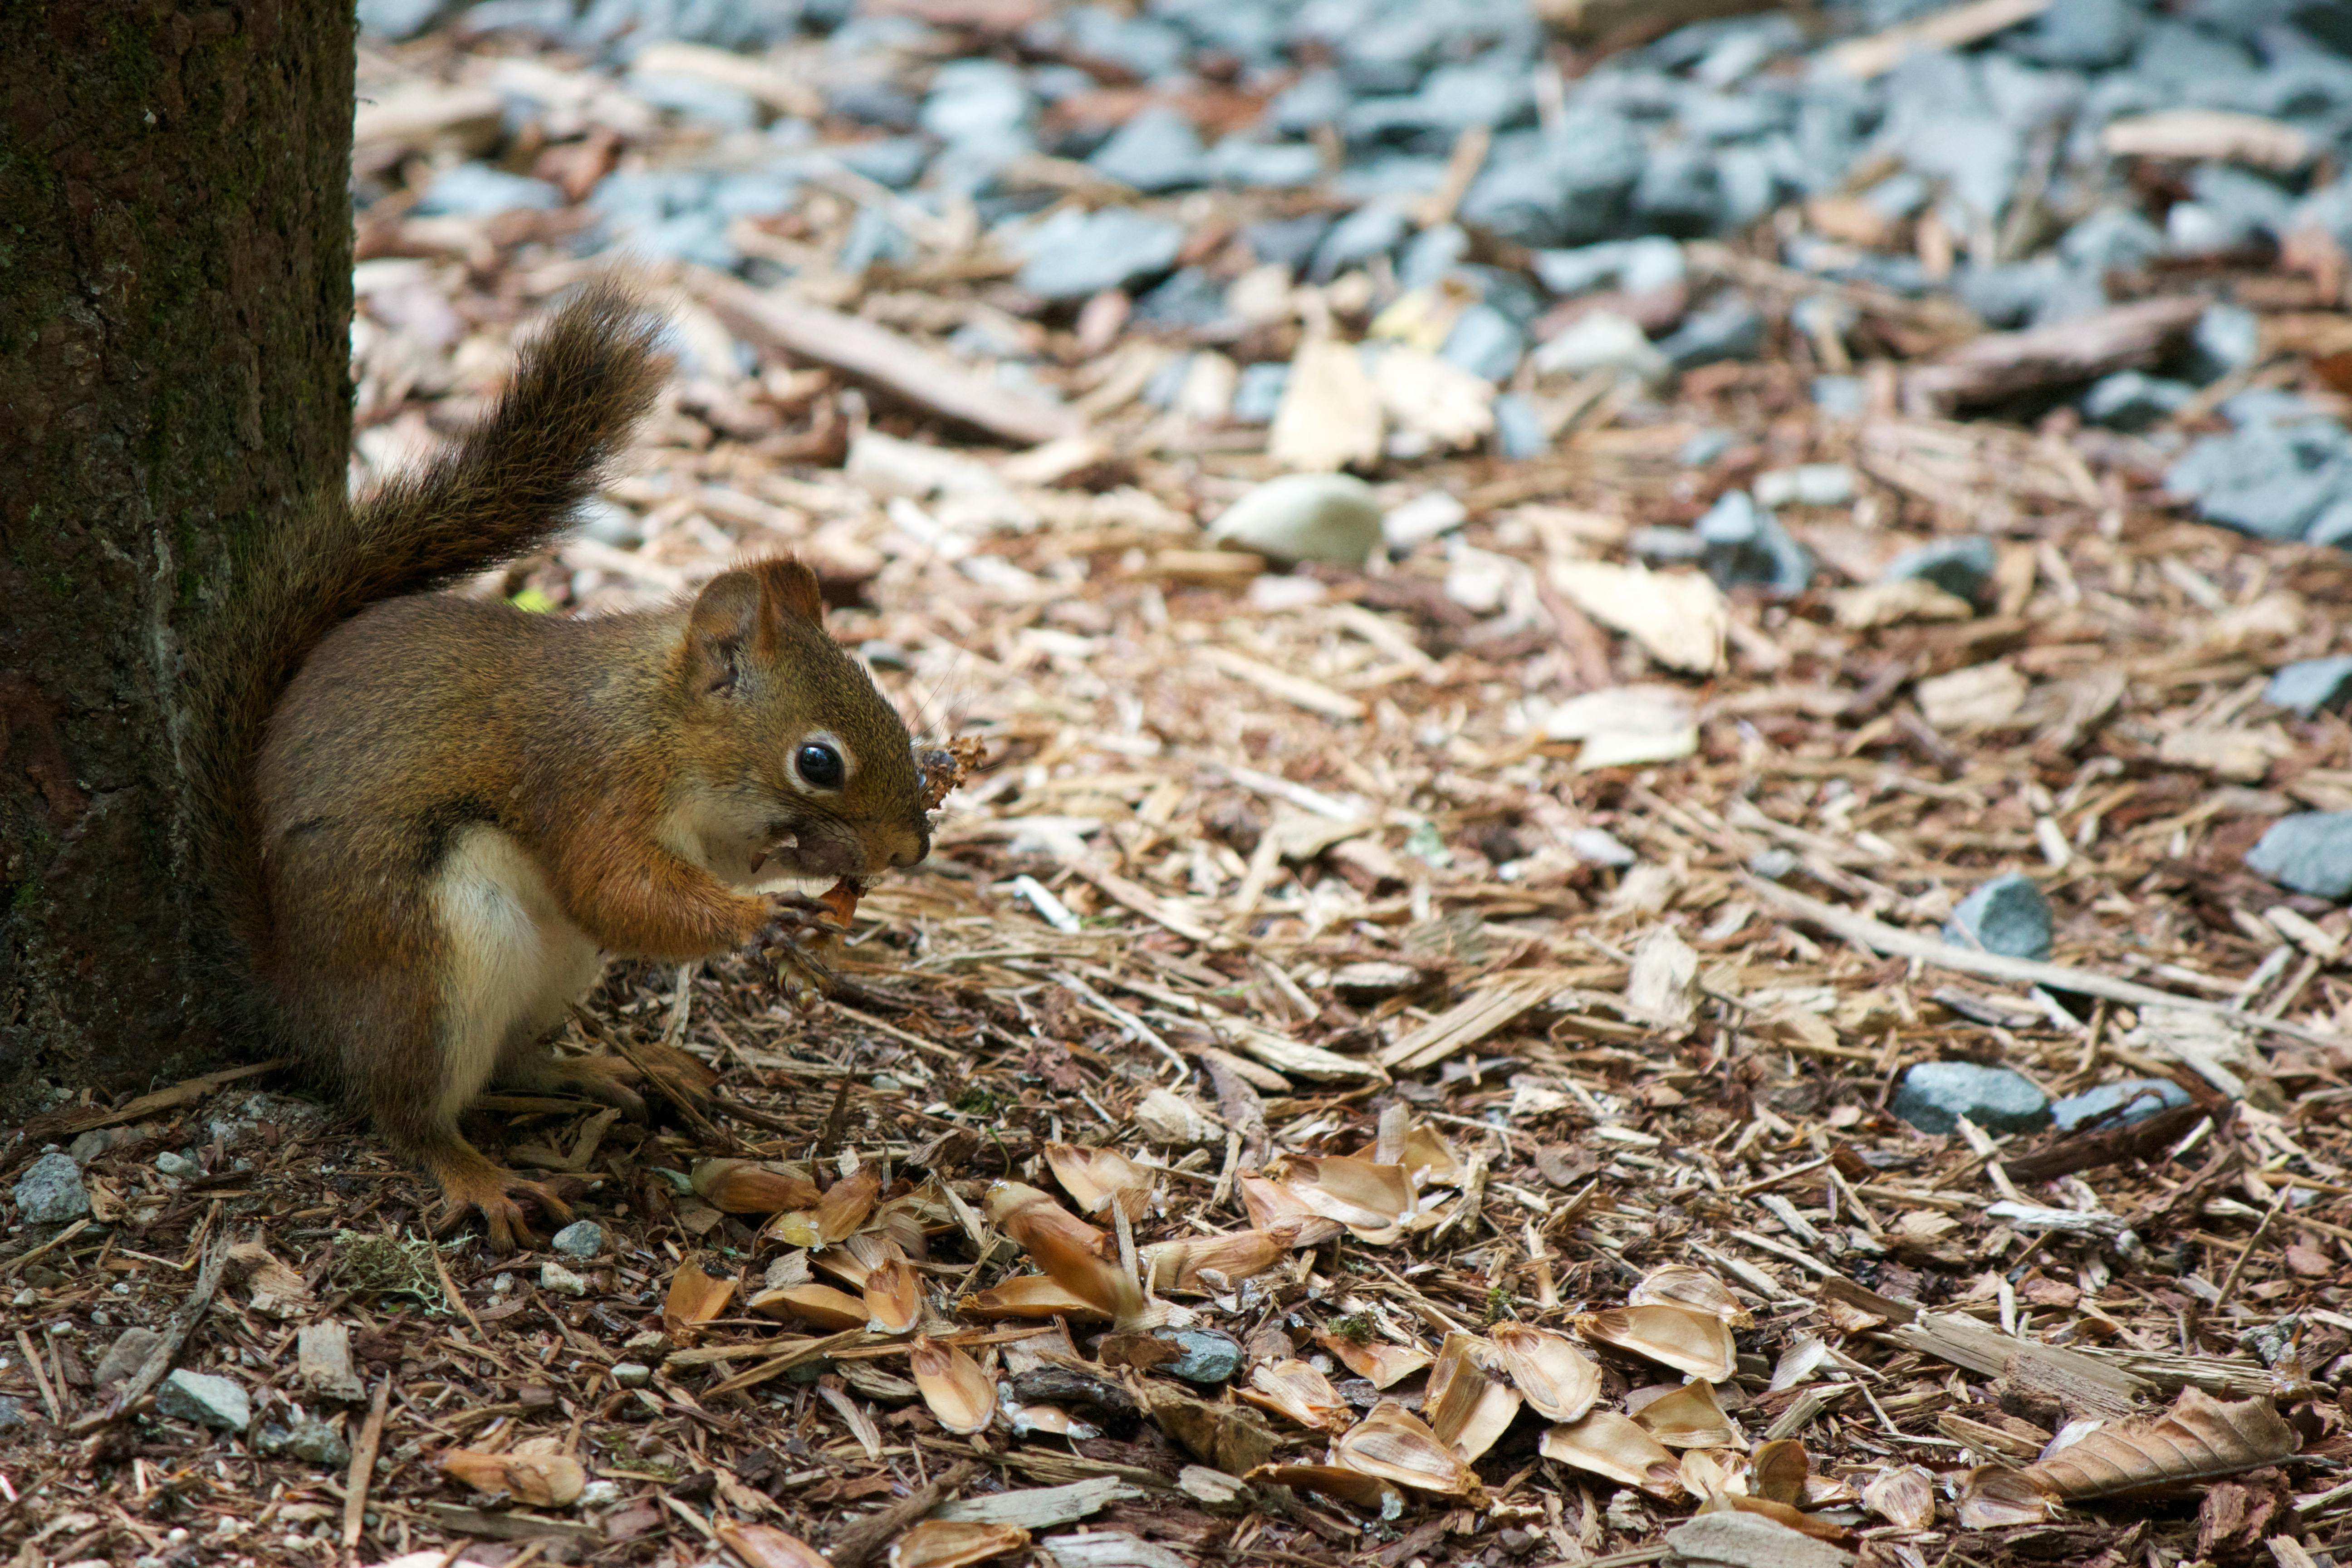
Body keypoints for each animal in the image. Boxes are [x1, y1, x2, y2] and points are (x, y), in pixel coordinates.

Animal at [190, 283, 933, 1251]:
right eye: (816, 760)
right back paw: (478, 1175)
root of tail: (301, 999)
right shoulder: (589, 781)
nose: (911, 850)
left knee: (515, 1056)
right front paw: (760, 921)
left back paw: (610, 1069)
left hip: (553, 966)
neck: (658, 720)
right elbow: (615, 887)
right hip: (430, 962)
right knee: (404, 1109)